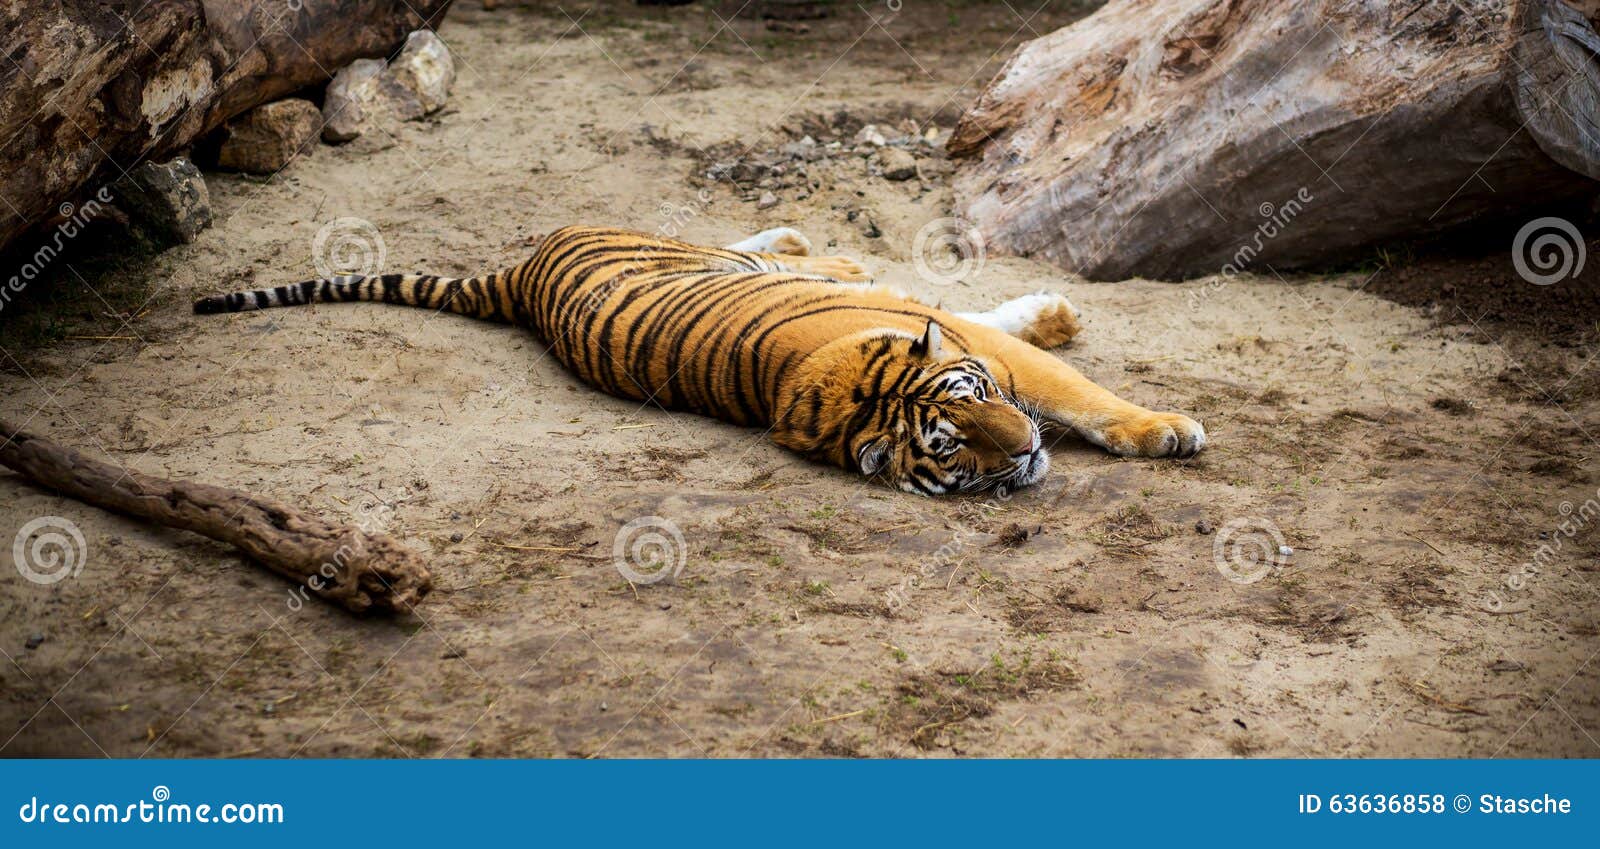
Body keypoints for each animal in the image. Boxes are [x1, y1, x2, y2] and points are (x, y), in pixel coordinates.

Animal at [194, 225, 1205, 494]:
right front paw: (1166, 428)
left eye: (977, 404)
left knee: (764, 246)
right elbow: (1065, 387)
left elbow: (1067, 387)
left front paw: (1154, 422)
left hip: (701, 250)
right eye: (951, 449)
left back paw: (826, 251)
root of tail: (520, 275)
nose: (1025, 455)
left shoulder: (977, 344)